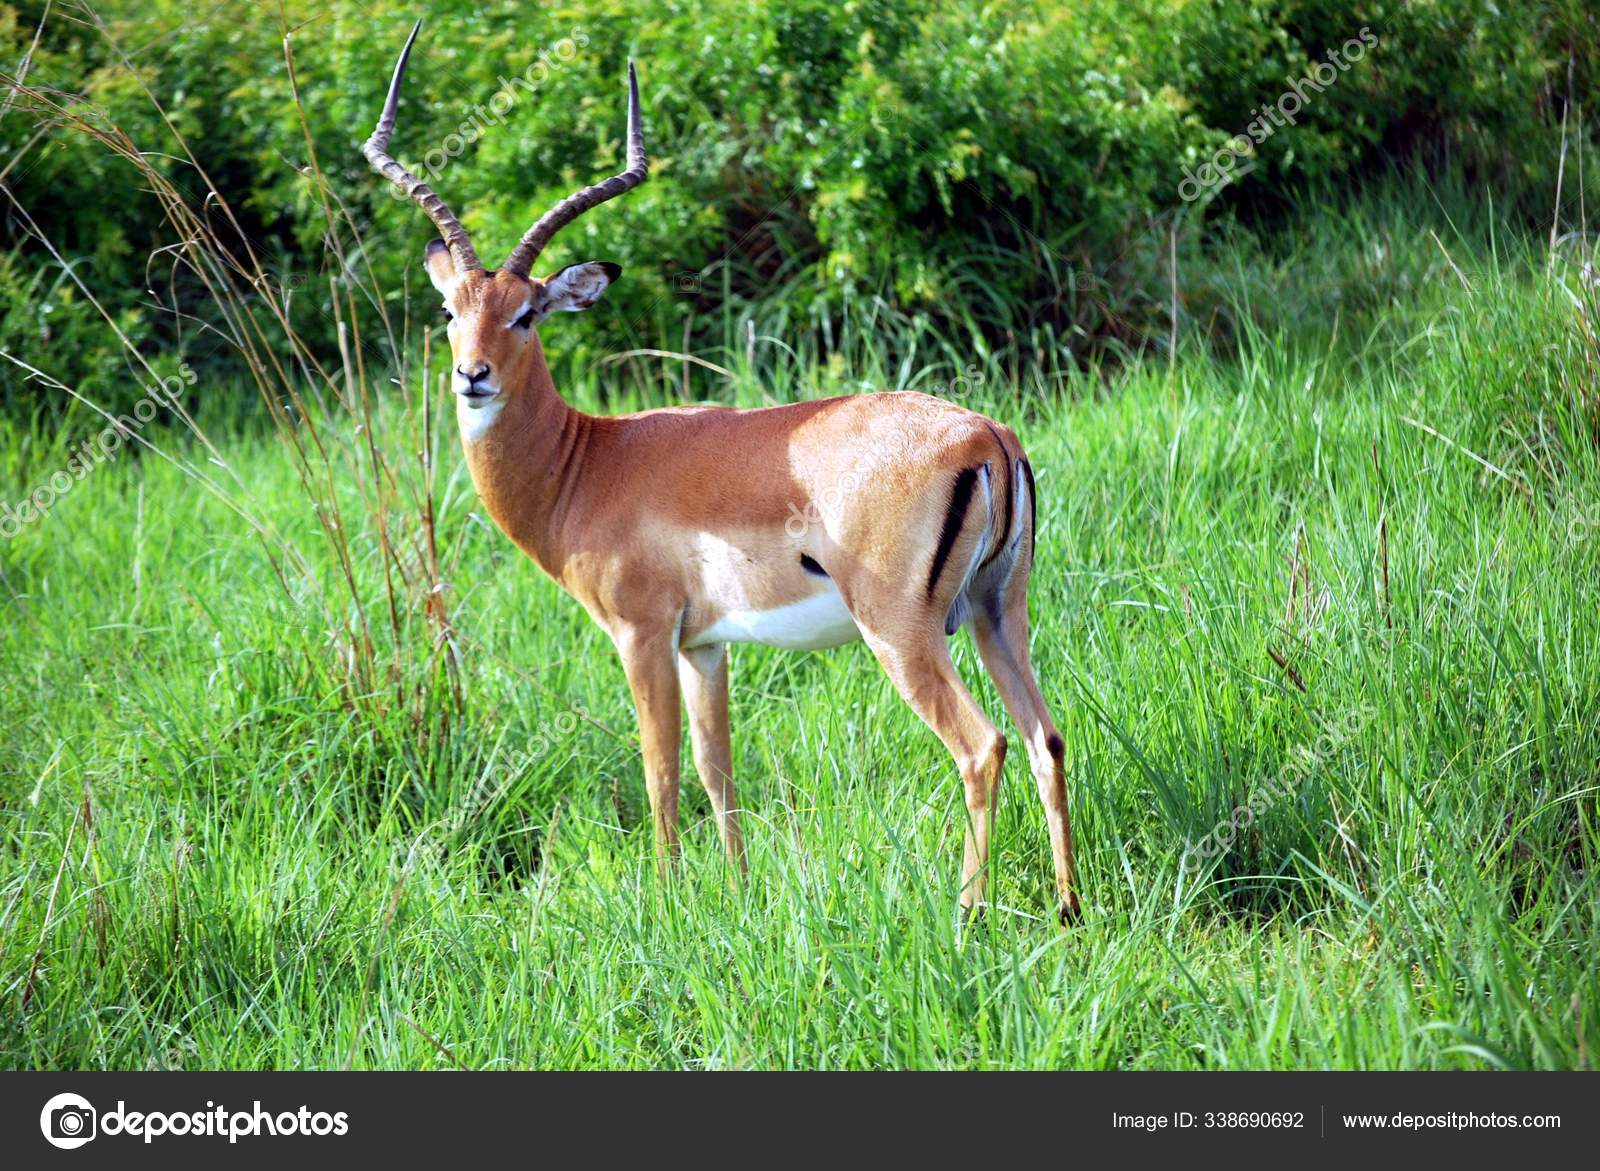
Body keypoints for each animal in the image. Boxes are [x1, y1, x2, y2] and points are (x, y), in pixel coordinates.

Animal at [363, 20, 1081, 922]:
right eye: (450, 310)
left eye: (526, 314)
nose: (473, 376)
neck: (586, 463)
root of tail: (987, 435)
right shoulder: (704, 644)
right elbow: (717, 767)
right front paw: (737, 890)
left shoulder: (641, 632)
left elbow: (659, 768)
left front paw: (667, 898)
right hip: (997, 614)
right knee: (1047, 738)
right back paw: (1070, 908)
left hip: (902, 631)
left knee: (982, 744)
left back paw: (965, 913)